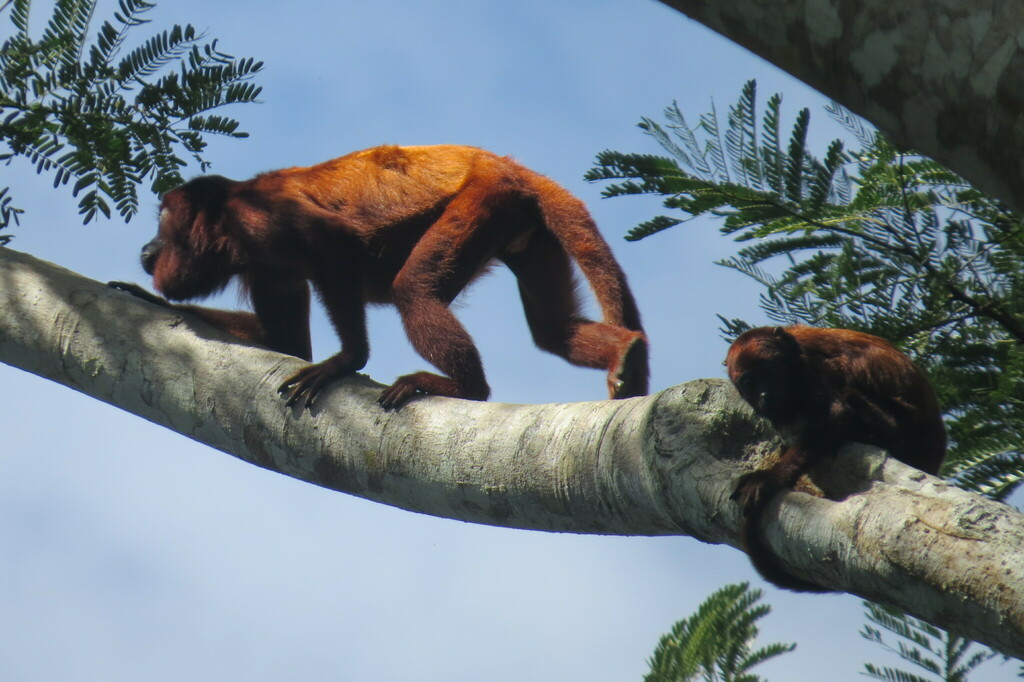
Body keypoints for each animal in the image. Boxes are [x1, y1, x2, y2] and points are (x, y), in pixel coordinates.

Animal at [115, 144, 648, 410]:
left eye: (163, 221)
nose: (145, 249)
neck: (228, 226)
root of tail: (513, 168)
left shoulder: (261, 219)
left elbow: (332, 243)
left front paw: (346, 361)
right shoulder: (266, 265)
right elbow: (283, 340)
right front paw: (155, 302)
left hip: (484, 197)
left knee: (412, 291)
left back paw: (466, 388)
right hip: (524, 228)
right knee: (551, 330)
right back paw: (625, 348)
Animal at [724, 325, 946, 591]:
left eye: (769, 371)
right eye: (749, 382)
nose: (765, 395)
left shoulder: (815, 370)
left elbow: (838, 417)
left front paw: (769, 479)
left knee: (851, 396)